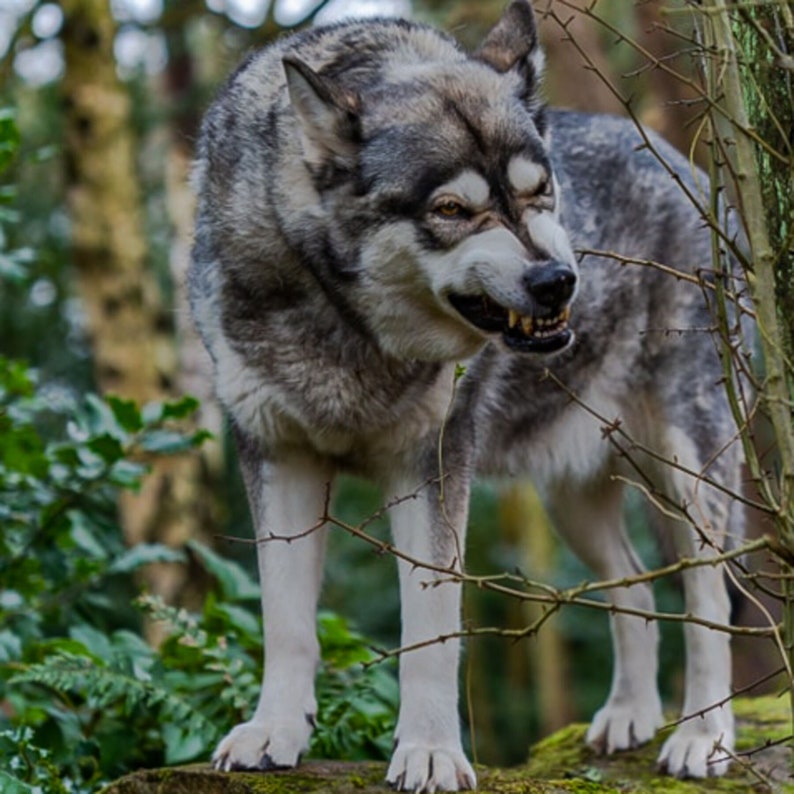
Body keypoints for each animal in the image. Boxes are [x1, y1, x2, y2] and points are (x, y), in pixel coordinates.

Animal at [189, 1, 745, 790]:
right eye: (452, 209)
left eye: (540, 192)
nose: (558, 281)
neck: (344, 321)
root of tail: (684, 166)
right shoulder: (278, 458)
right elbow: (286, 622)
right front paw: (273, 734)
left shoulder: (432, 467)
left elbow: (431, 628)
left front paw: (427, 753)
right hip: (573, 501)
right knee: (636, 587)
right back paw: (628, 719)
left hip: (691, 472)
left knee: (708, 599)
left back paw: (704, 738)